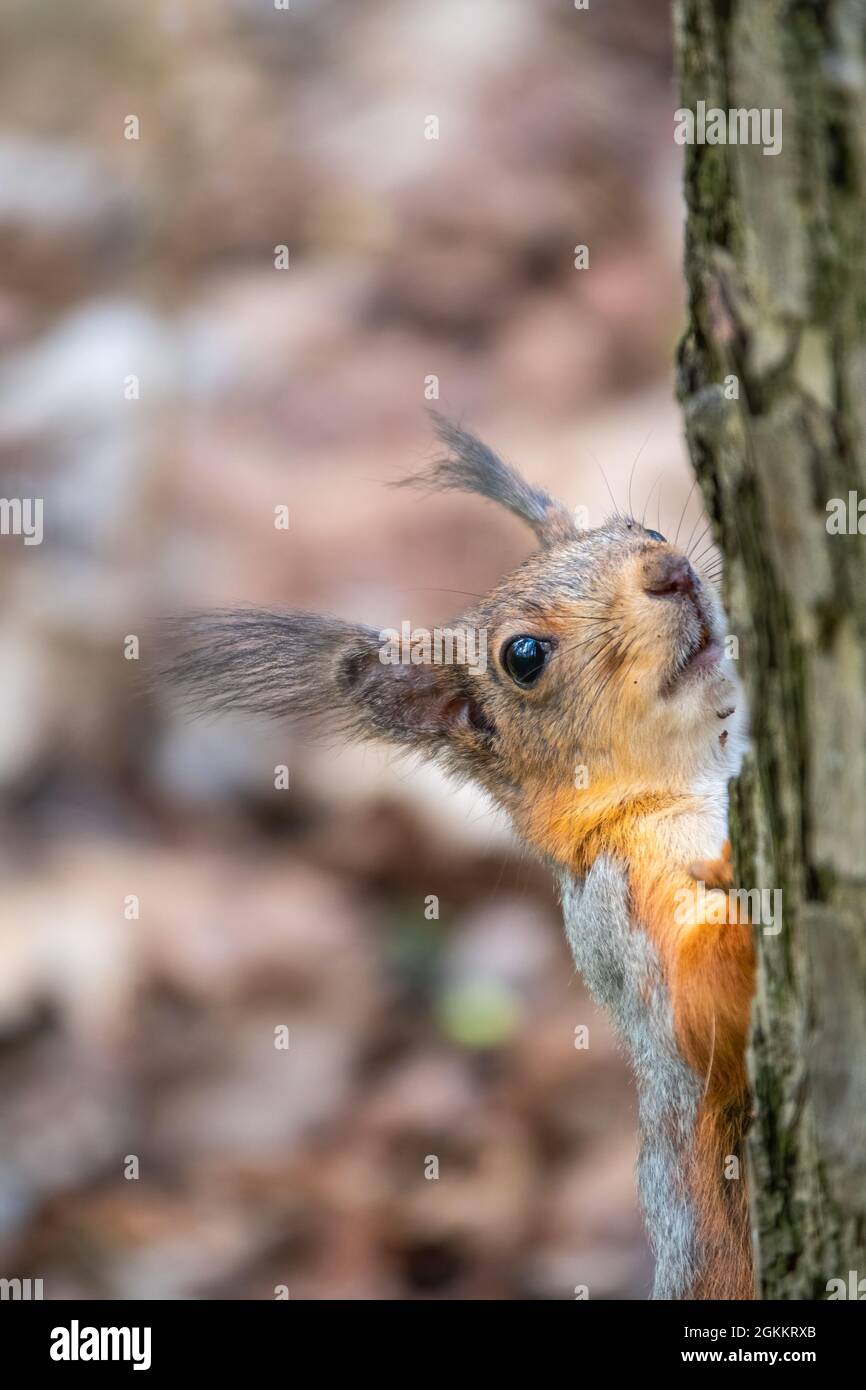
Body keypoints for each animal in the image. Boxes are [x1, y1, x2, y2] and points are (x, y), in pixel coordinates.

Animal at [166, 414, 756, 1300]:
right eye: (523, 657)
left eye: (641, 529)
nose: (671, 569)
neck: (692, 774)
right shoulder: (624, 912)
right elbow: (699, 1013)